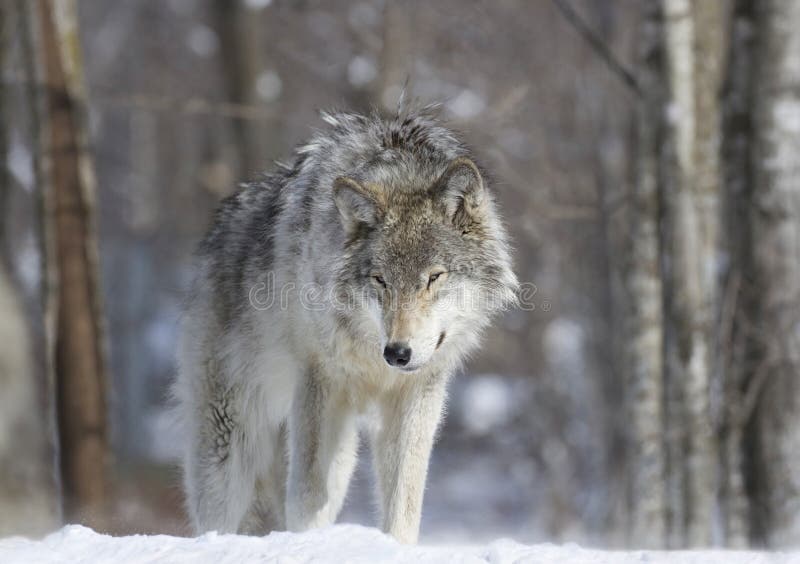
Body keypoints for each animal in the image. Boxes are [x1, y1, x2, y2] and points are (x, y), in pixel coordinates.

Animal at [174, 104, 517, 543]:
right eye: (380, 280)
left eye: (433, 278)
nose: (398, 353)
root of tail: (213, 236)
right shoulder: (320, 382)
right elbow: (306, 500)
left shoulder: (418, 394)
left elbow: (404, 503)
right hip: (233, 440)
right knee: (220, 514)